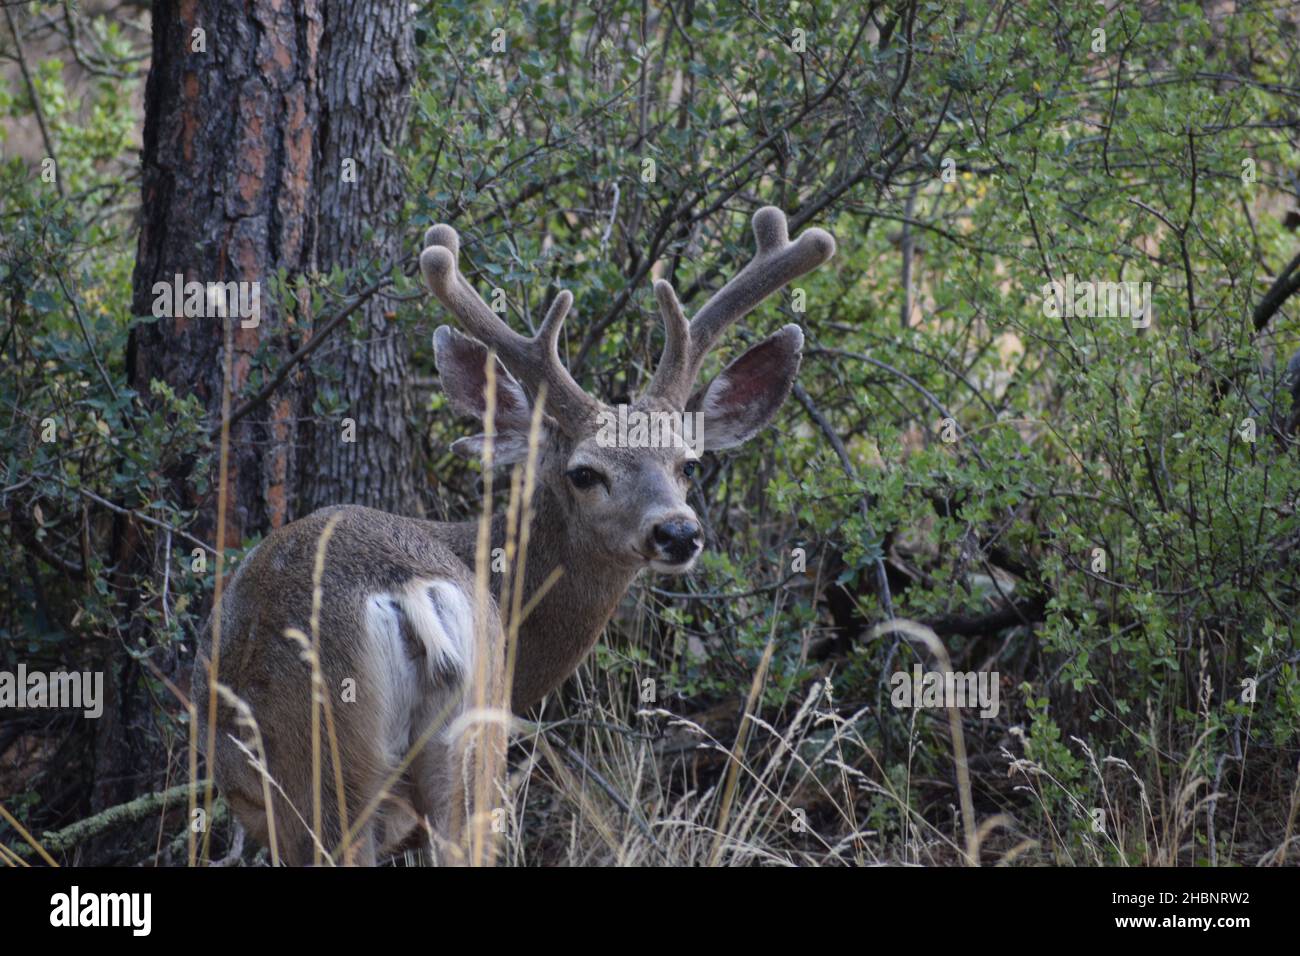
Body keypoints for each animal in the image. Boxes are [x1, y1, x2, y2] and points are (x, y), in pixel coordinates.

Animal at [193, 206, 835, 865]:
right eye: (584, 473)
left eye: (688, 464)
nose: (678, 531)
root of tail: (410, 594)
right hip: (472, 754)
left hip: (325, 774)